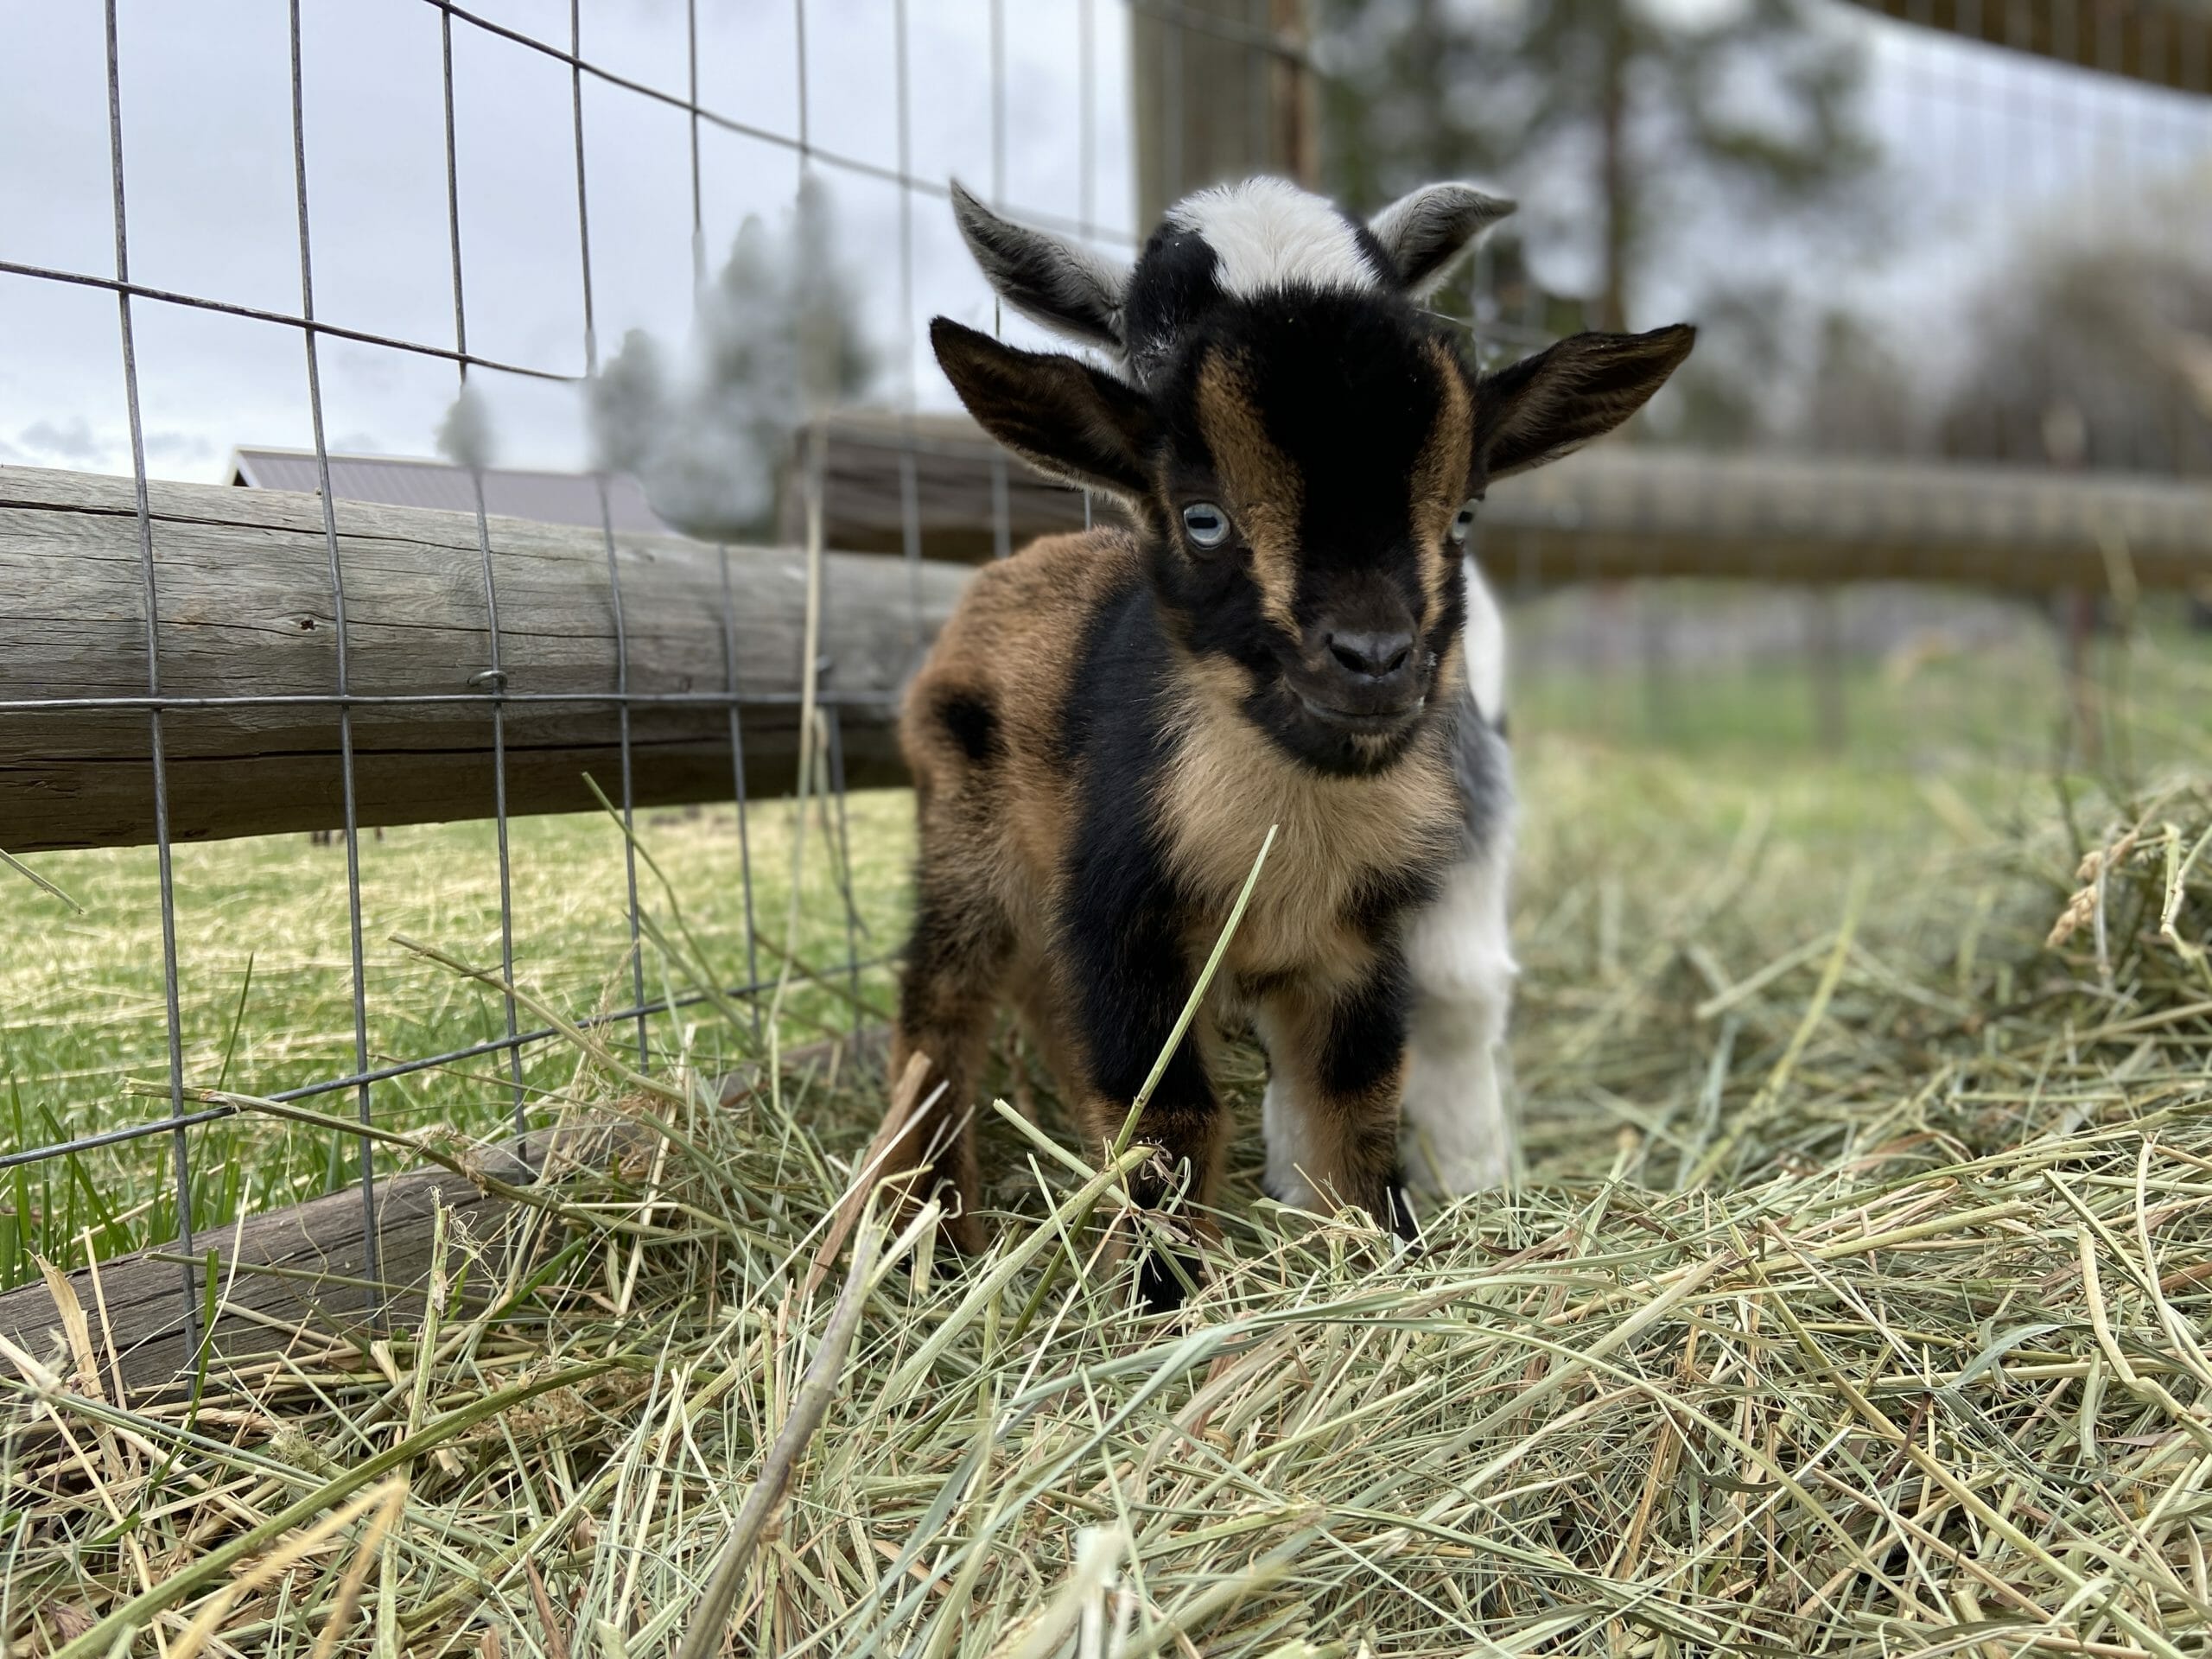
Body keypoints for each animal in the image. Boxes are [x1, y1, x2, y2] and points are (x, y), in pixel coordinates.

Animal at [886, 176, 1691, 1305]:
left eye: (1465, 512)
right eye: (1143, 347)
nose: (1374, 657)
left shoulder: (1400, 897)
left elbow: (1400, 1049)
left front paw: (1400, 1230)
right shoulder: (1128, 927)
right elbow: (1162, 1119)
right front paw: (1175, 1291)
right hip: (973, 850)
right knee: (946, 1009)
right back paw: (924, 1228)